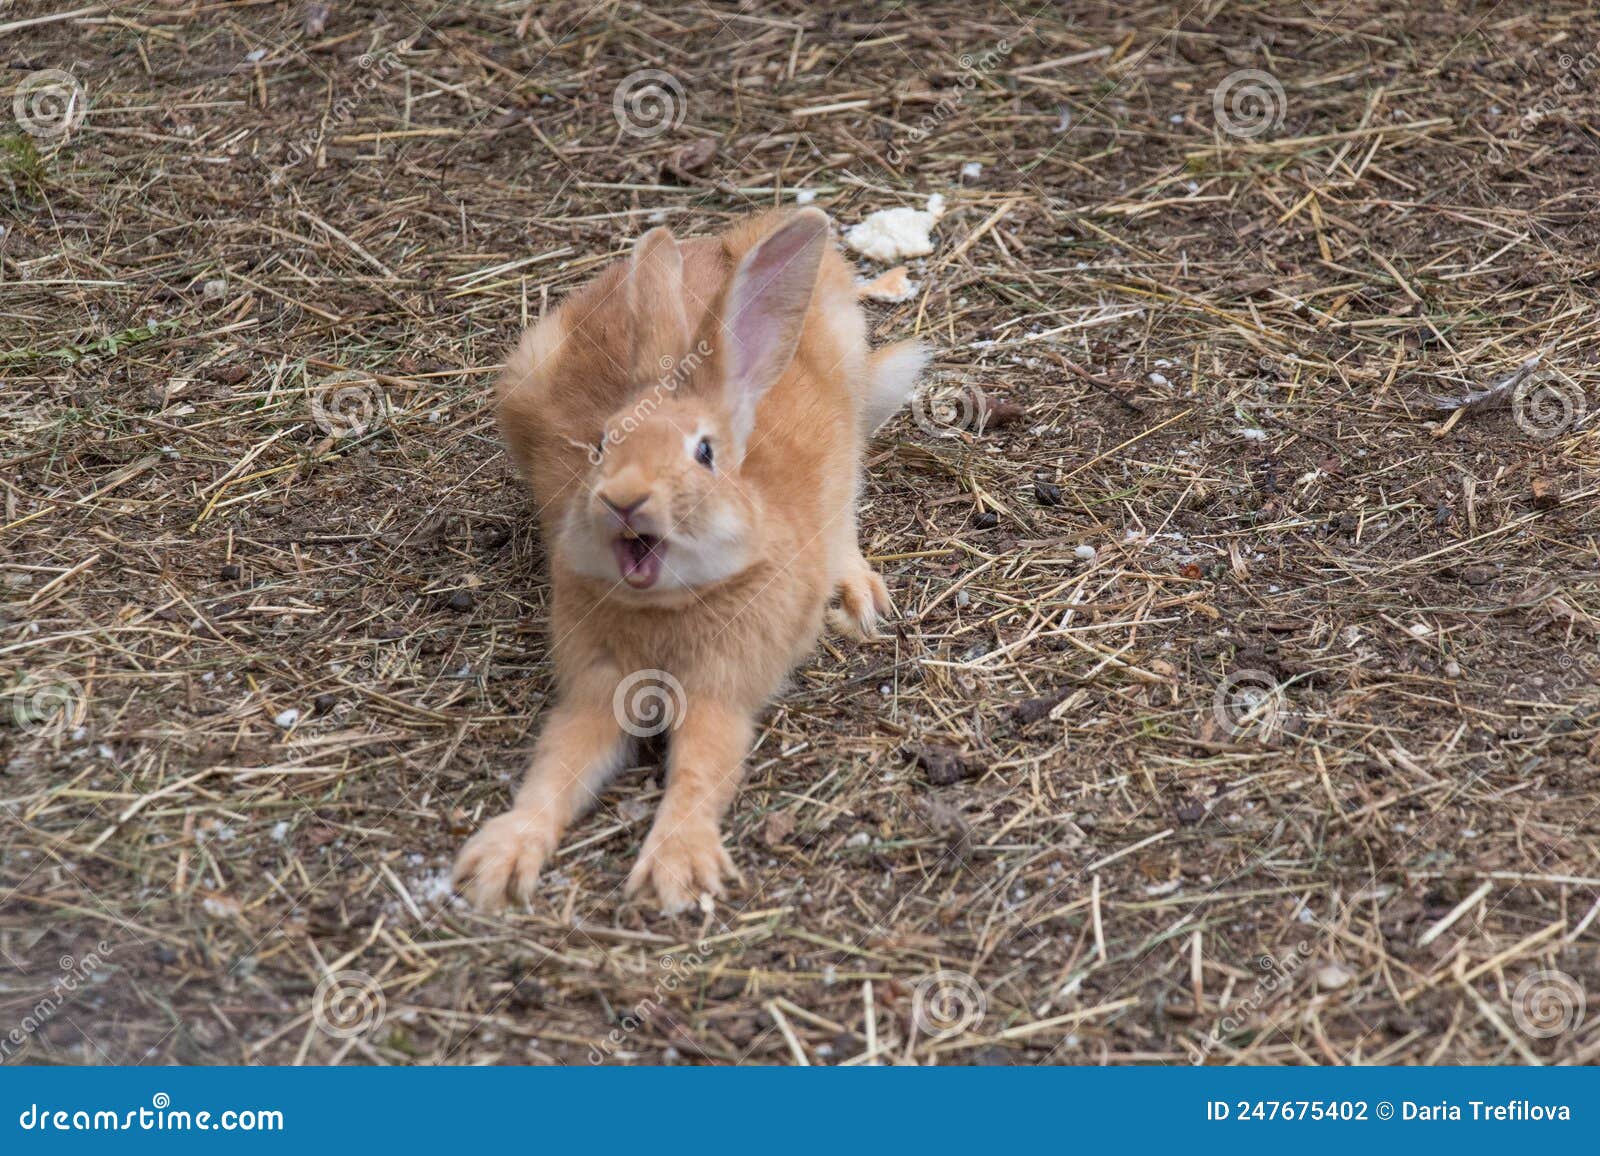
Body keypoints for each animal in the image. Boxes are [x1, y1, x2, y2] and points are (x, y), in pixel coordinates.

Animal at [453, 208, 928, 913]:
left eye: (704, 453)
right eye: (601, 445)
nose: (623, 499)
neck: (667, 603)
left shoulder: (720, 691)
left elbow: (703, 765)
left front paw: (676, 868)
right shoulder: (597, 688)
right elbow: (557, 766)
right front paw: (499, 860)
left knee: (846, 509)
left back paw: (855, 595)